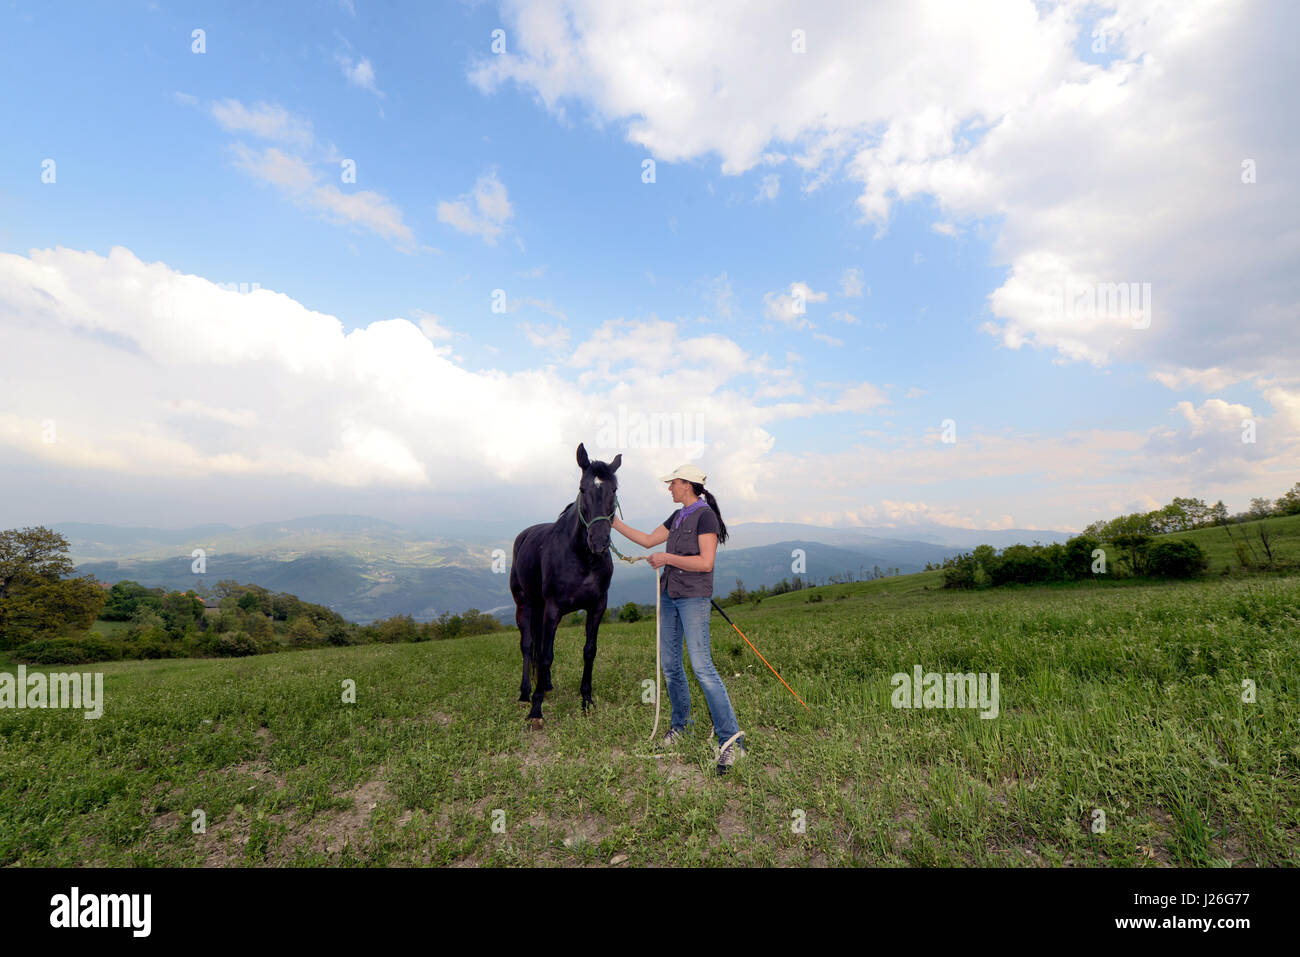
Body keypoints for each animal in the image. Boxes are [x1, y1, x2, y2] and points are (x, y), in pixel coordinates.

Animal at [510, 442, 622, 728]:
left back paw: (546, 684)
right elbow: (546, 655)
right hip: (525, 605)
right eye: (583, 489)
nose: (599, 542)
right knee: (527, 646)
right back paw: (526, 693)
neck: (581, 557)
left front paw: (587, 701)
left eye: (614, 490)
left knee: (538, 645)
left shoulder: (597, 607)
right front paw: (536, 710)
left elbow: (589, 651)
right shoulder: (553, 609)